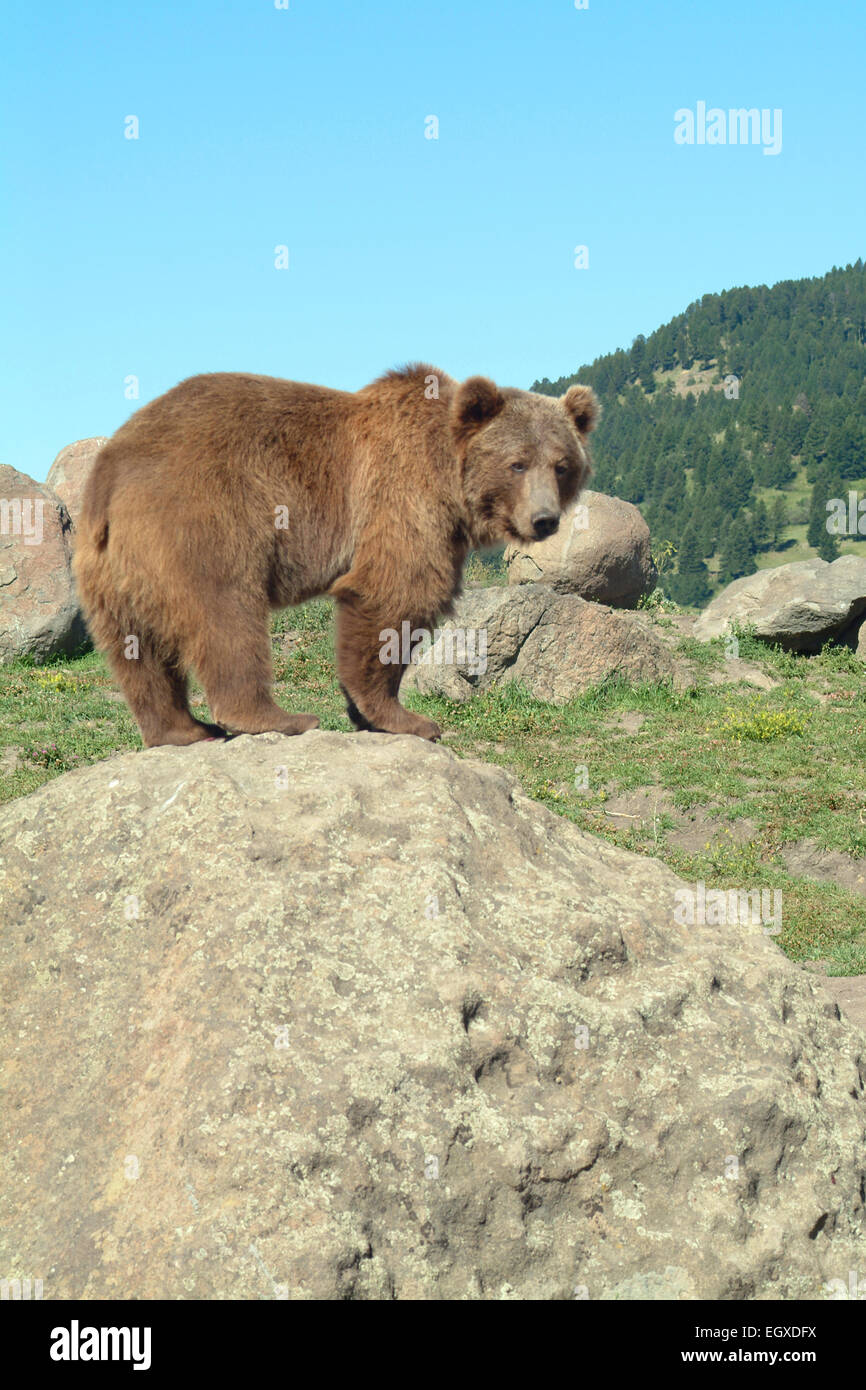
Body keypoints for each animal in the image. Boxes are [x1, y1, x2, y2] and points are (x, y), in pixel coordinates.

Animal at [73, 365, 599, 747]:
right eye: (517, 463)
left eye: (562, 465)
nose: (545, 519)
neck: (450, 481)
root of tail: (112, 466)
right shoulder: (401, 497)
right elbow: (394, 595)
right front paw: (406, 718)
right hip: (205, 515)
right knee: (227, 614)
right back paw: (279, 717)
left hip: (110, 569)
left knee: (136, 650)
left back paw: (181, 729)